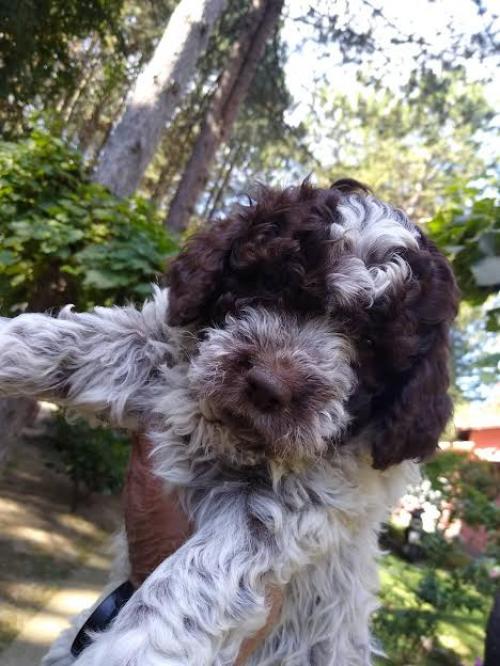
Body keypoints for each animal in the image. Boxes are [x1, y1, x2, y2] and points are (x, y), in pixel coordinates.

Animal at [0, 179, 458, 660]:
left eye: (369, 346)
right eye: (272, 285)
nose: (268, 386)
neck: (226, 438)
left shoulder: (300, 501)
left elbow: (198, 574)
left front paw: (134, 650)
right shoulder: (162, 359)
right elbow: (72, 341)